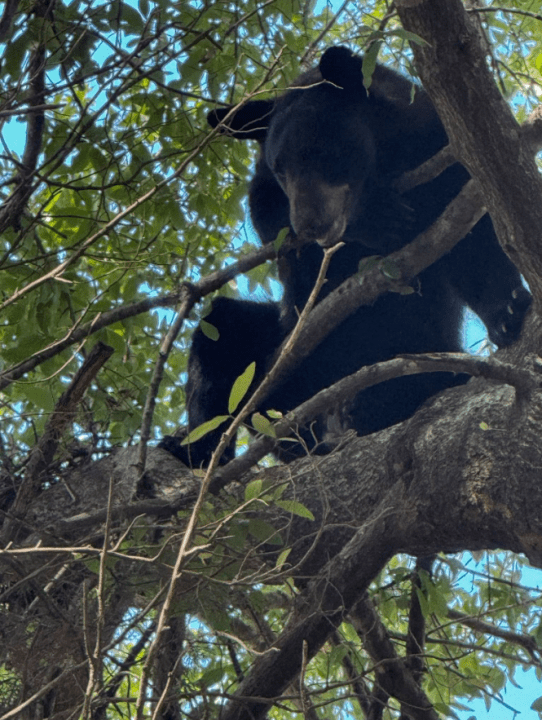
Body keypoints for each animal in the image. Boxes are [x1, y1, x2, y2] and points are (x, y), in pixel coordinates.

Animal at [160, 46, 531, 467]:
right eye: (280, 167)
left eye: (324, 153)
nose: (310, 223)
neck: (385, 157)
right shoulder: (272, 195)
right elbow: (268, 218)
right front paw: (373, 216)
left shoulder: (439, 147)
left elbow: (474, 240)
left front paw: (508, 311)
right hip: (285, 361)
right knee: (221, 332)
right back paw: (196, 447)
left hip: (420, 344)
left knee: (428, 370)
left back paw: (371, 403)